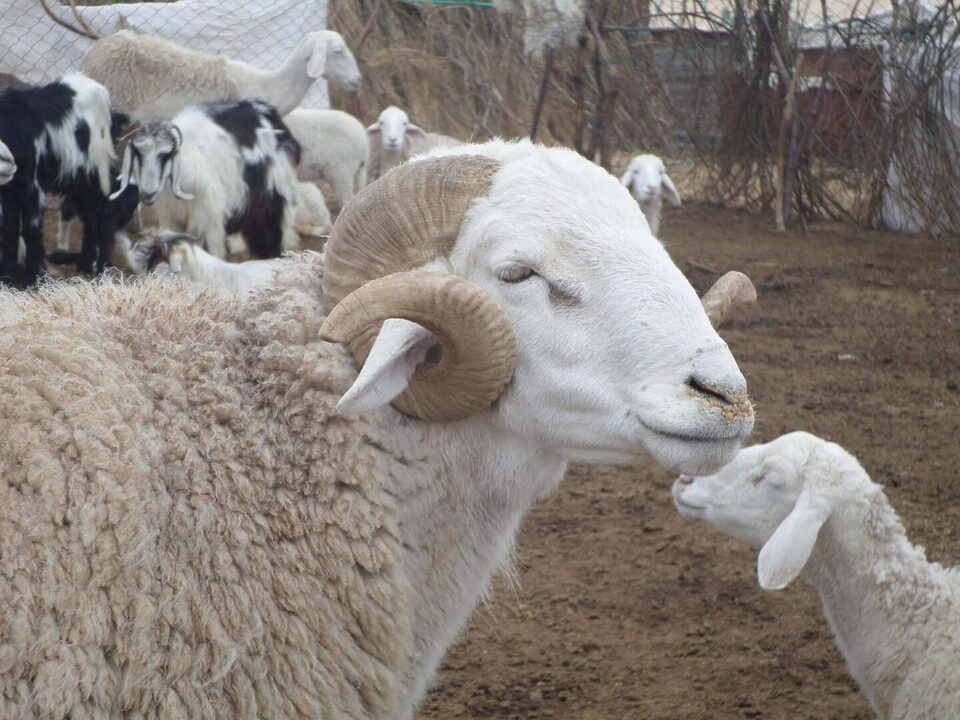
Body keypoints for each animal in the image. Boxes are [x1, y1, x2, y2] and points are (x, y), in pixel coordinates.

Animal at [0, 72, 114, 282]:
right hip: (75, 180)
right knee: (90, 218)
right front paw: (8, 276)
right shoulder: (9, 188)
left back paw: (103, 268)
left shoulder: (31, 185)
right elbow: (10, 229)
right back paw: (84, 266)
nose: (8, 160)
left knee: (101, 215)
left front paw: (32, 278)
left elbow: (31, 229)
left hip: (95, 170)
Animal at [116, 100, 304, 260]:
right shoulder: (173, 217)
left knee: (278, 233)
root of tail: (271, 113)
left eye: (165, 154)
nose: (147, 194)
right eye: (137, 154)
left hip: (277, 197)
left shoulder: (208, 217)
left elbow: (213, 251)